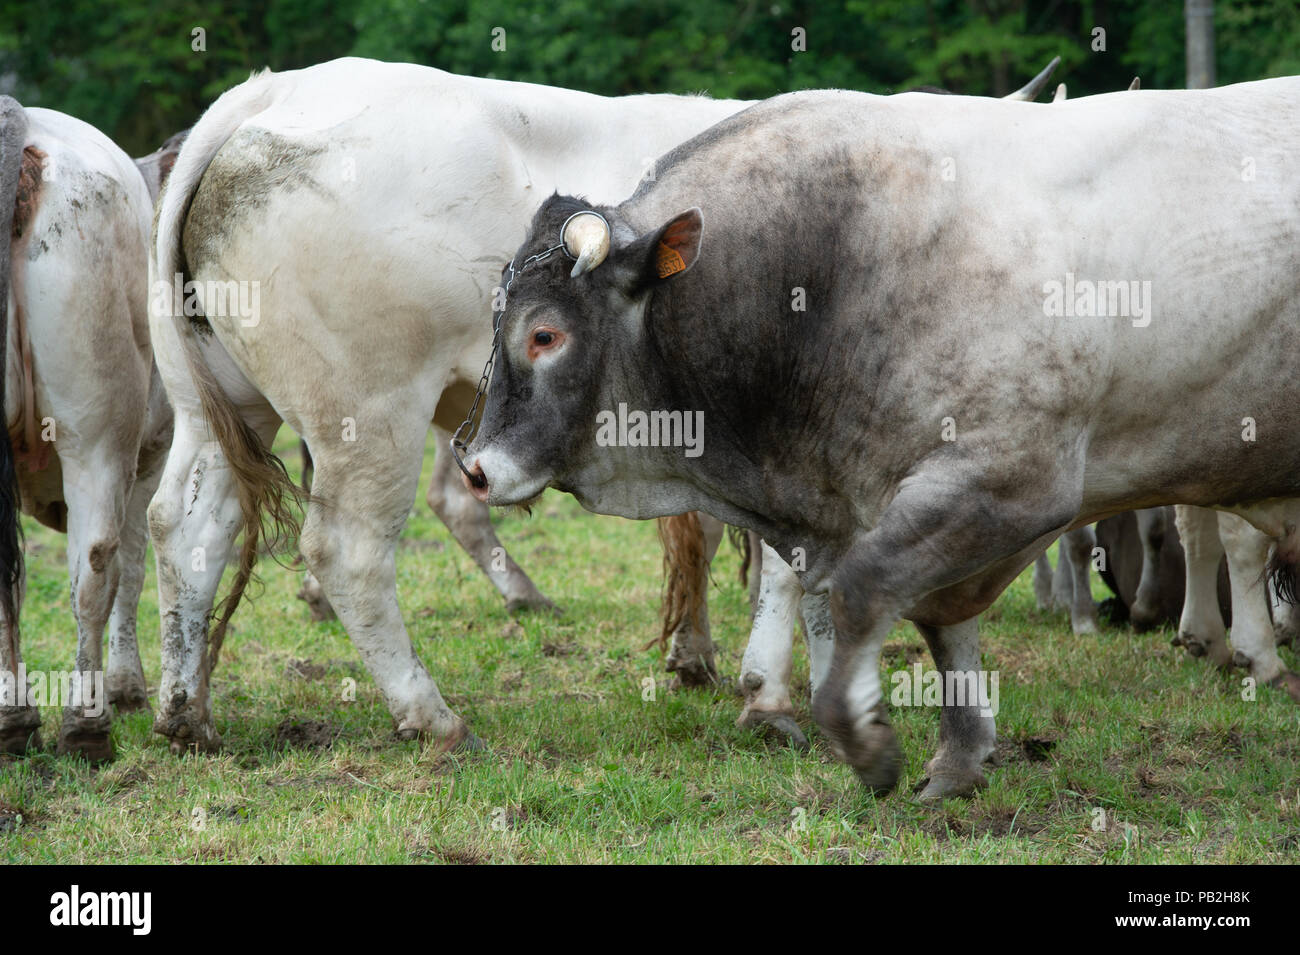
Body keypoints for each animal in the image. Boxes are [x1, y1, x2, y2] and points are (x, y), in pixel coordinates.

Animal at [0, 96, 174, 761]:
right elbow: (132, 565)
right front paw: (126, 687)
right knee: (97, 568)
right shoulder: (149, 457)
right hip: (100, 440)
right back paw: (87, 723)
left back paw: (14, 719)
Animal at [144, 56, 1061, 755]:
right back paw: (431, 715)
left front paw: (719, 666)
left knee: (186, 526)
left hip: (226, 409)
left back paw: (186, 712)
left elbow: (744, 546)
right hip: (370, 419)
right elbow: (782, 561)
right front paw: (767, 693)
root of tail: (273, 92)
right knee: (349, 553)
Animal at [462, 79, 1300, 798]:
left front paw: (866, 742)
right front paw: (959, 757)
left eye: (545, 334)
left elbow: (869, 591)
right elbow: (934, 621)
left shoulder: (1008, 483)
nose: (476, 467)